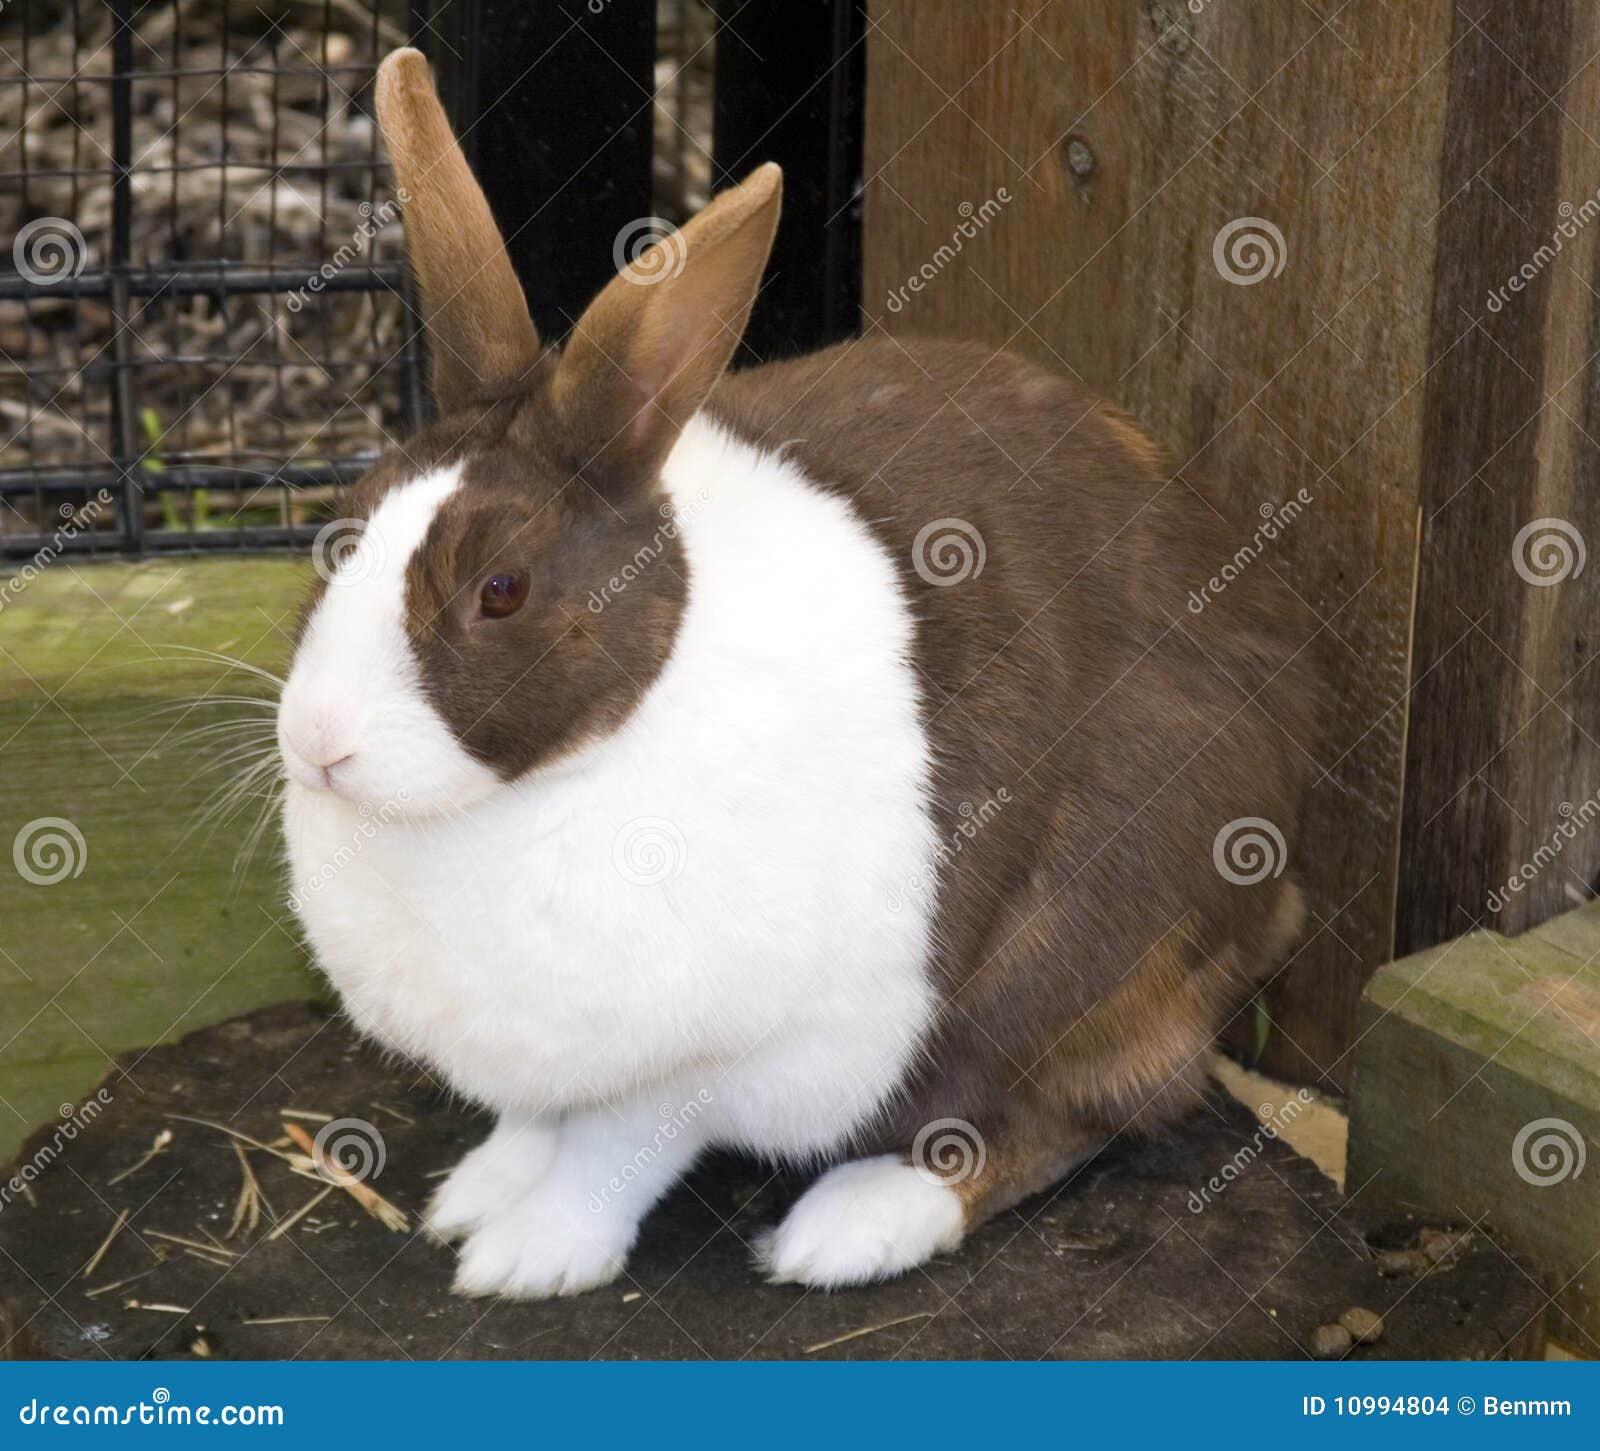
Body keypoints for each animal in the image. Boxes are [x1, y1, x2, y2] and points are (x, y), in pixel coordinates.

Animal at [276, 47, 1318, 1300]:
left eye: (502, 591)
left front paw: (530, 1256)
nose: (316, 743)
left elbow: (613, 1153)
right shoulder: (549, 1061)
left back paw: (855, 1224)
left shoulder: (705, 1061)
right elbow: (535, 1123)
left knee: (1070, 1115)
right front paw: (473, 1195)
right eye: (342, 526)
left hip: (1090, 956)